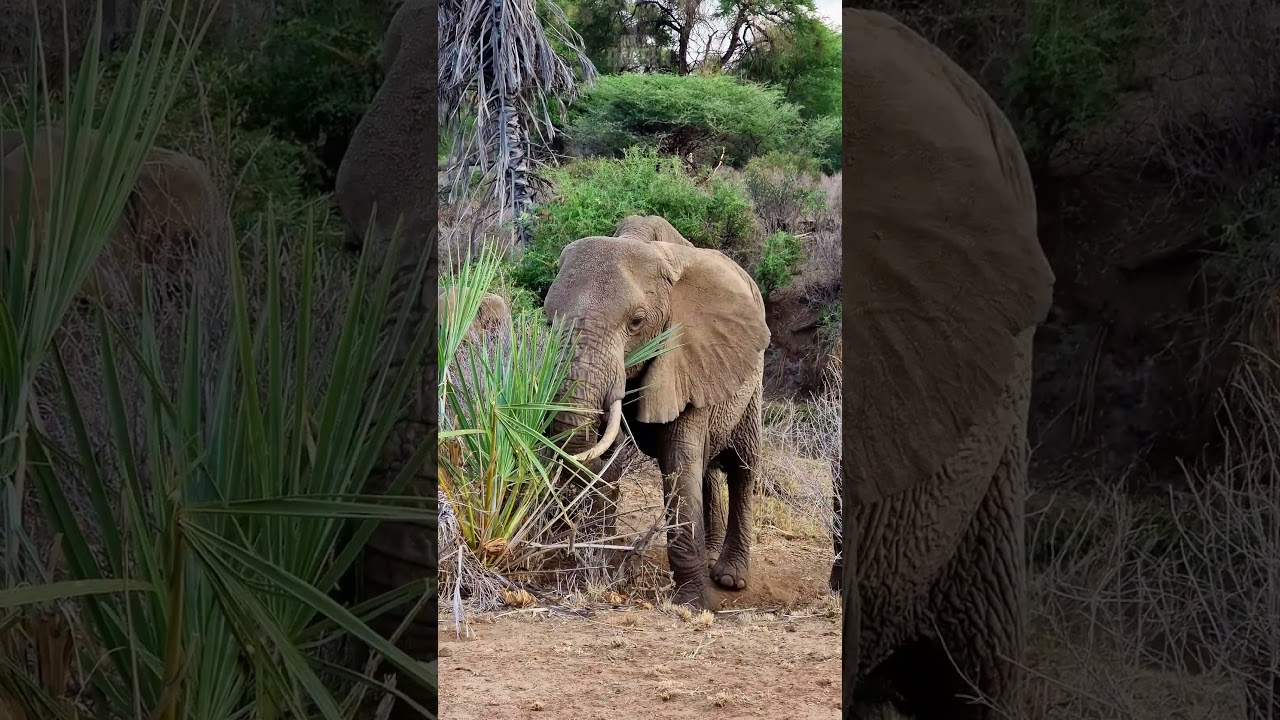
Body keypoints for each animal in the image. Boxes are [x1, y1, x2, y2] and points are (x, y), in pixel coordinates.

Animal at [543, 214, 771, 610]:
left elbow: (679, 461)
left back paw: (730, 576)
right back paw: (711, 555)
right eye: (548, 320)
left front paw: (694, 605)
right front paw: (595, 576)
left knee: (742, 465)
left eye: (636, 322)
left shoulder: (688, 354)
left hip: (750, 380)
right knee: (708, 468)